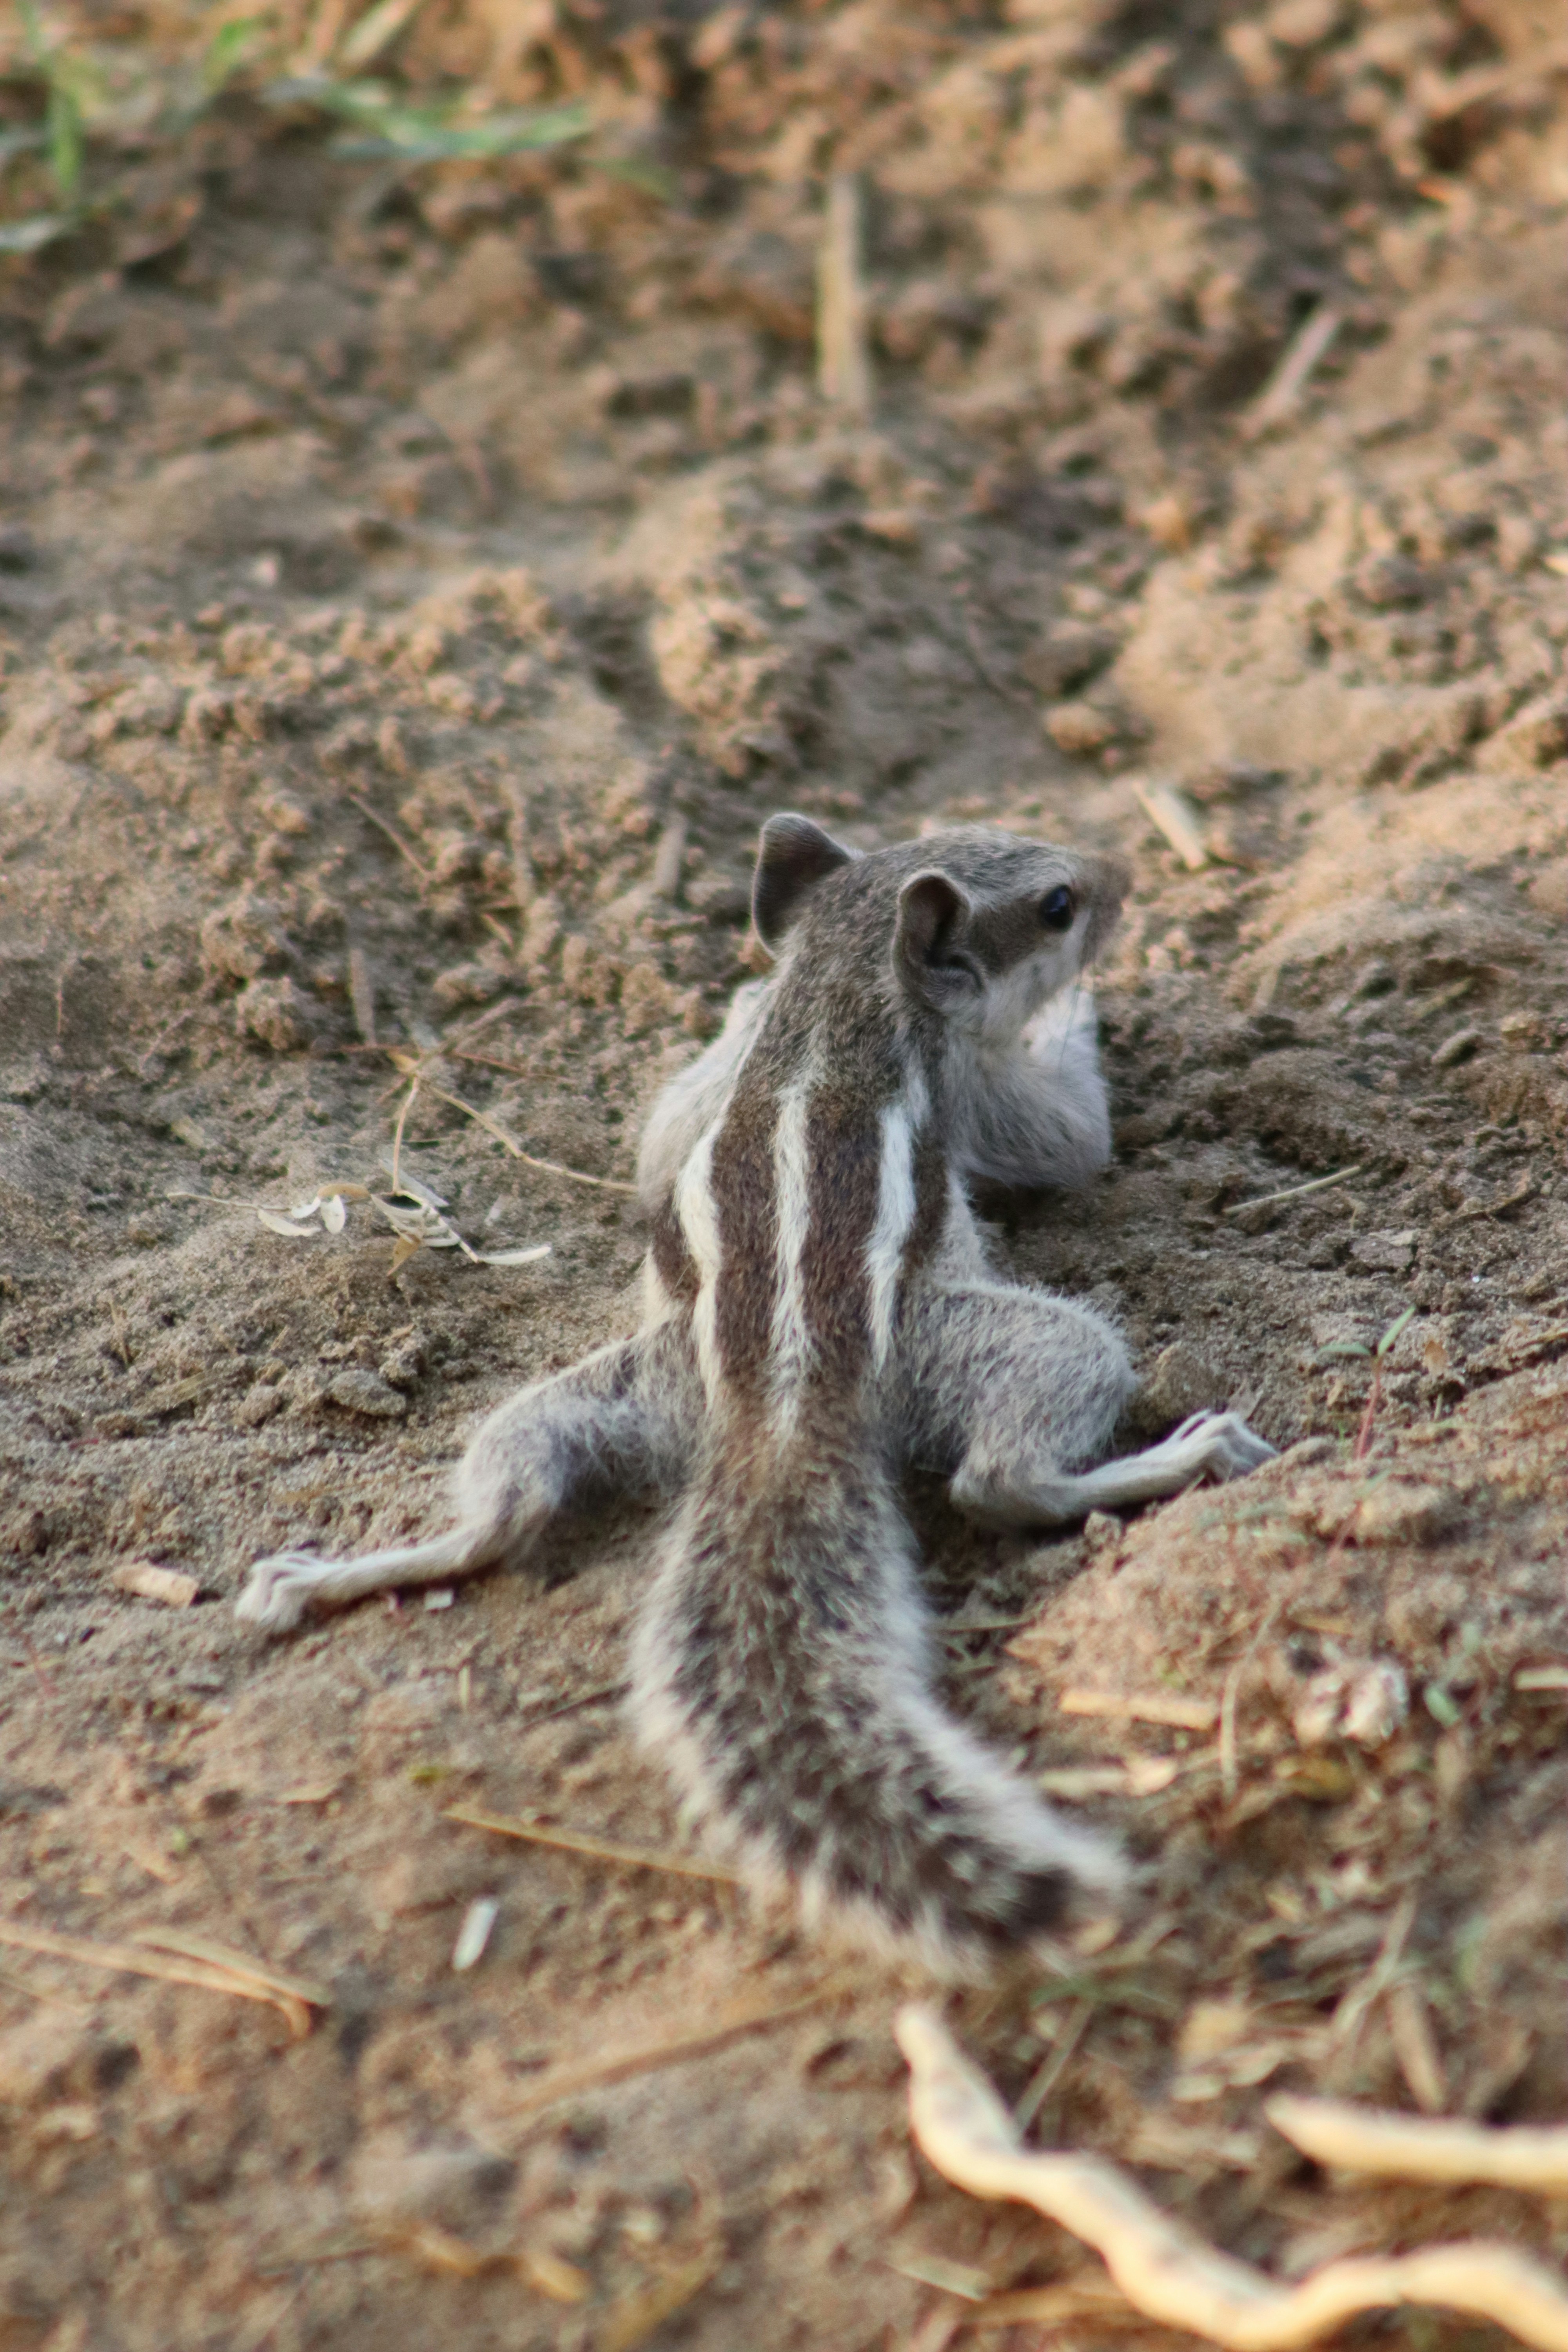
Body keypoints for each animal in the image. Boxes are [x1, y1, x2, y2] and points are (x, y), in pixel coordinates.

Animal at [237, 816, 1274, 1974]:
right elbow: (1074, 1139)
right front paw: (1078, 1018)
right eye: (1059, 904)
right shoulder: (974, 1091)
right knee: (1001, 1481)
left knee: (504, 1514)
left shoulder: (701, 1108)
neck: (835, 996)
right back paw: (1182, 1455)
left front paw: (736, 997)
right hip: (1033, 1341)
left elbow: (655, 1144)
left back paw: (321, 1577)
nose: (1124, 876)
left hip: (612, 1391)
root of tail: (775, 1411)